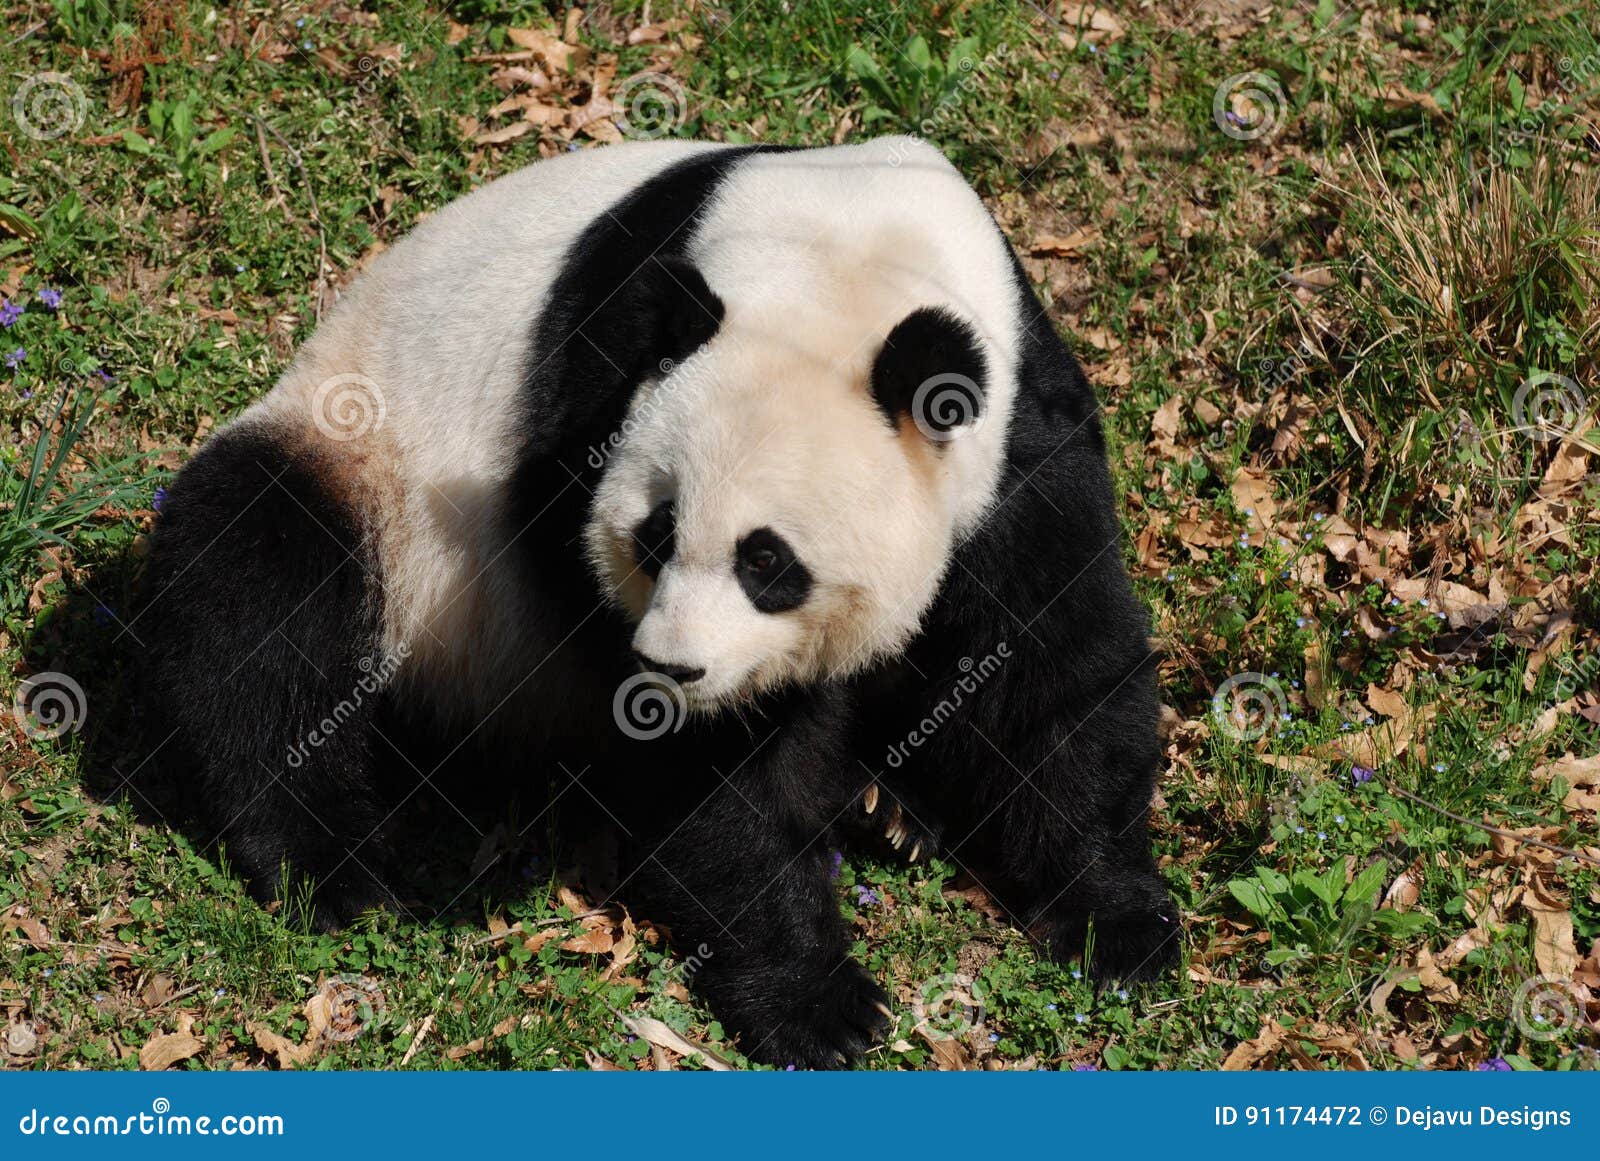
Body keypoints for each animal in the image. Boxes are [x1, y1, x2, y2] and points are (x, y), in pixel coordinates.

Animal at [141, 136, 1177, 1068]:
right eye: (656, 535)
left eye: (769, 562)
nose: (674, 667)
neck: (846, 259)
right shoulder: (592, 410)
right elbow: (701, 767)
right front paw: (820, 1002)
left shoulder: (1020, 442)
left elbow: (1054, 665)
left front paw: (1118, 923)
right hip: (365, 472)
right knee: (260, 583)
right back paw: (341, 870)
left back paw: (893, 807)